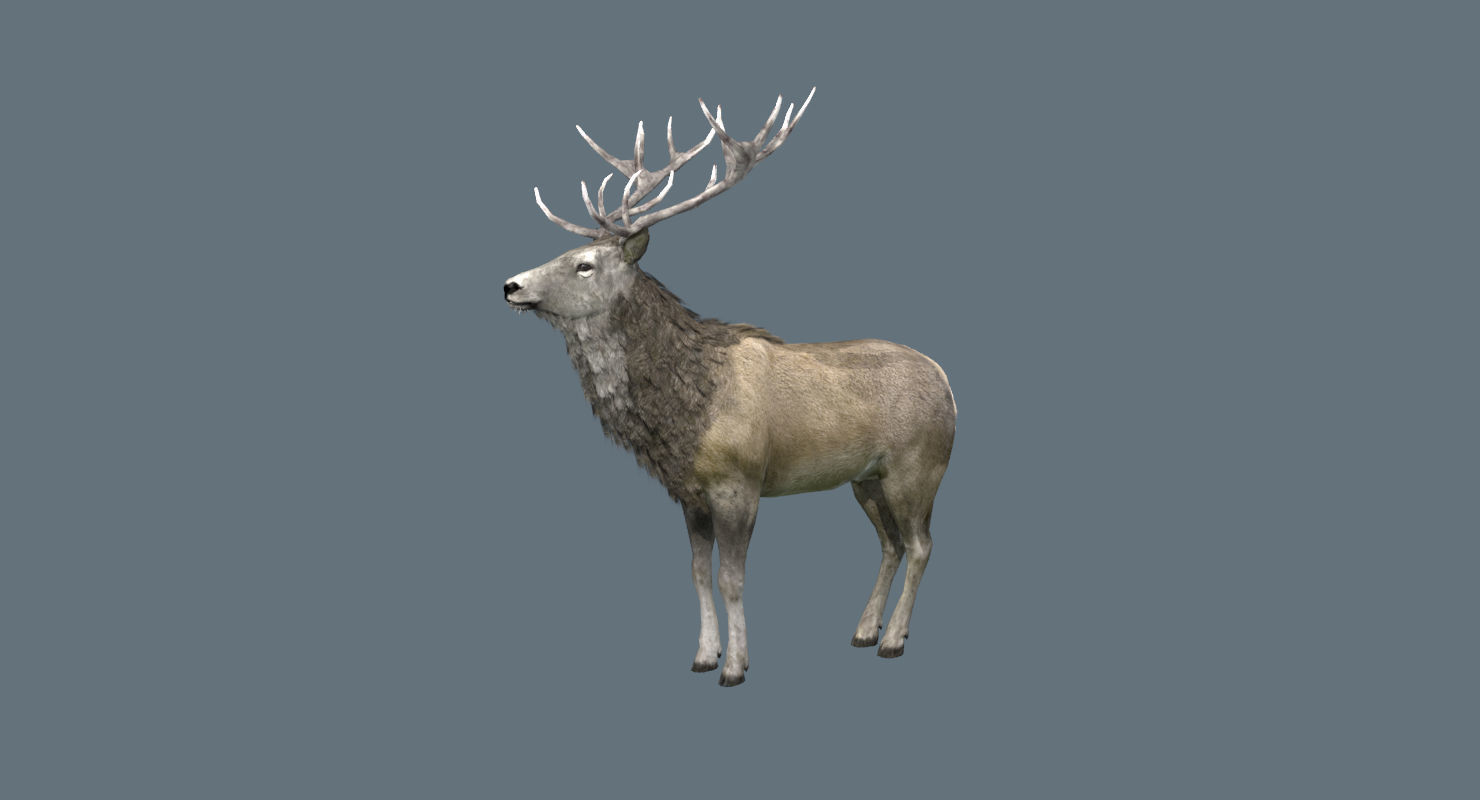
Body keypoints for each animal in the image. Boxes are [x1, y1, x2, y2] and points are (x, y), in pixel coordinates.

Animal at [503, 88, 955, 686]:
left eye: (584, 264)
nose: (511, 285)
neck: (681, 418)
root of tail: (949, 383)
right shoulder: (687, 492)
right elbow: (697, 573)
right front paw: (702, 656)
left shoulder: (738, 481)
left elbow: (731, 578)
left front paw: (736, 667)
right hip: (867, 478)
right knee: (891, 543)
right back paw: (864, 631)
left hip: (918, 465)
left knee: (921, 543)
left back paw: (894, 640)